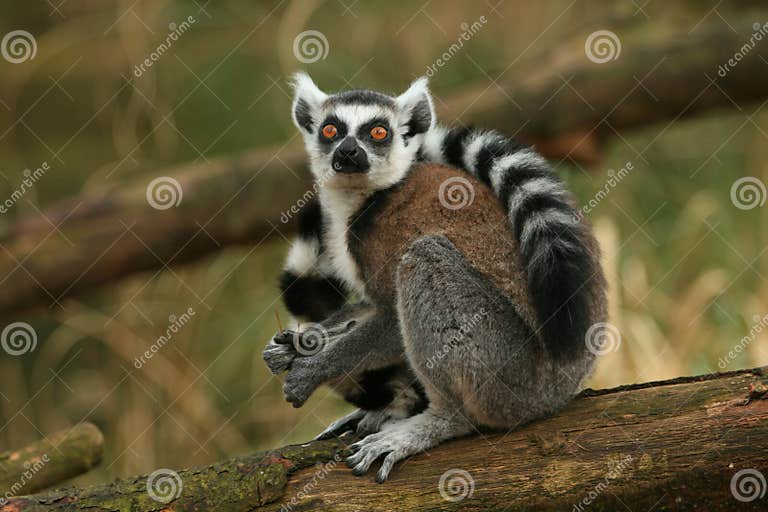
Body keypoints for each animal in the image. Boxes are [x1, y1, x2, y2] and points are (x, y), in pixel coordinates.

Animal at [262, 73, 607, 482]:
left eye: (377, 132)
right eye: (332, 130)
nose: (347, 152)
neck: (365, 198)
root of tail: (567, 382)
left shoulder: (383, 236)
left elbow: (391, 319)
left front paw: (313, 368)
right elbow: (369, 307)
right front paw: (300, 343)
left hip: (511, 374)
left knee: (425, 261)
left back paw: (437, 421)